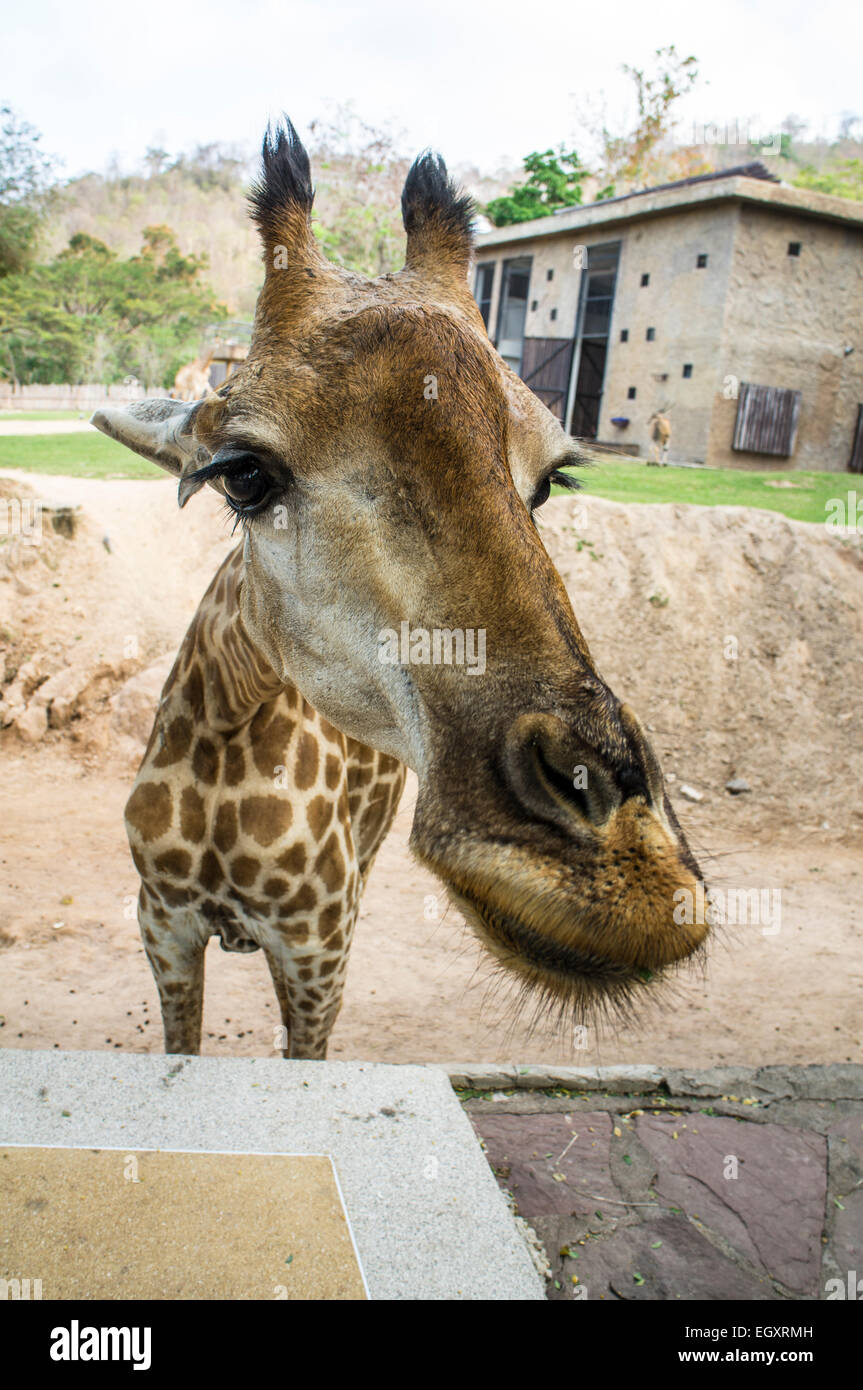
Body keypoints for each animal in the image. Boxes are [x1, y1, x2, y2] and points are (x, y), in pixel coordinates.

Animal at [92, 119, 710, 1061]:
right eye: (243, 475)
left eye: (549, 480)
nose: (632, 867)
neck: (228, 743)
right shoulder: (162, 925)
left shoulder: (318, 948)